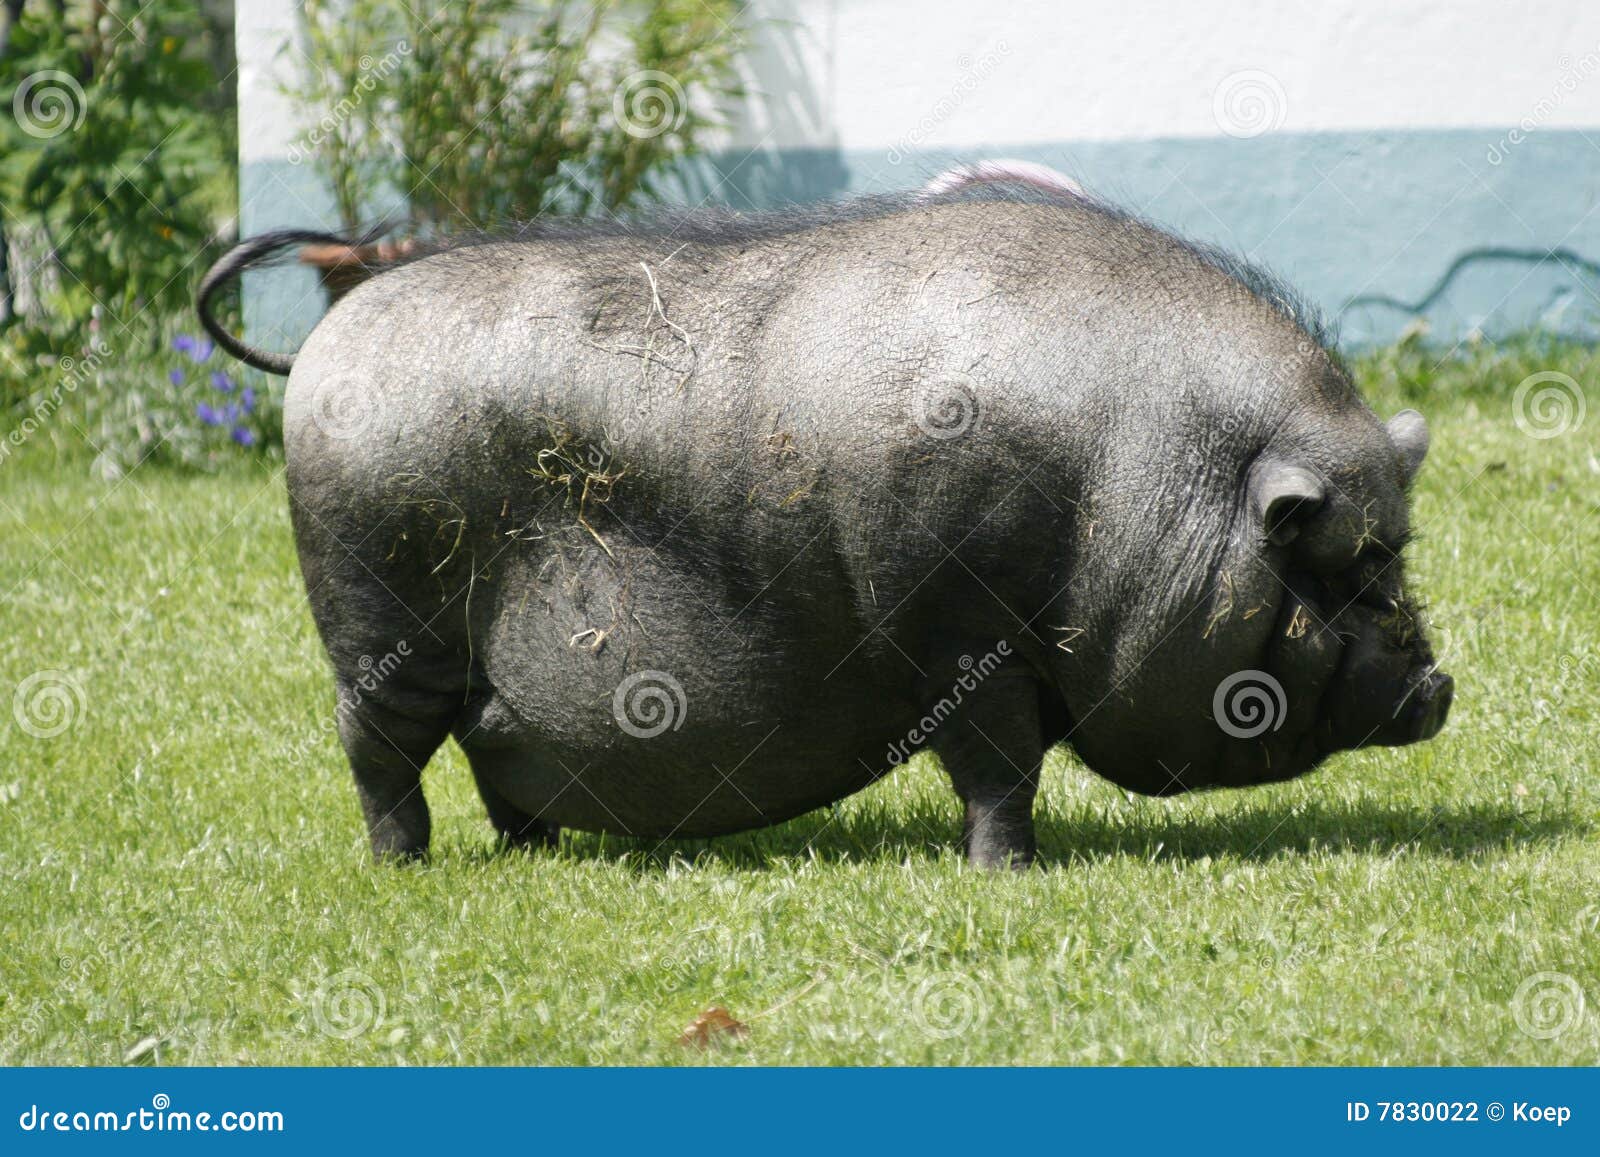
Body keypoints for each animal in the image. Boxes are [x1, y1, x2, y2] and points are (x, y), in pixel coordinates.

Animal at [196, 183, 1452, 867]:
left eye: (1395, 553)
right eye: (1345, 560)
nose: (1438, 685)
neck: (1134, 471)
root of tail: (323, 344)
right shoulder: (958, 633)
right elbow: (998, 768)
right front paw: (1008, 873)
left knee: (488, 753)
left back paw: (535, 852)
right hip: (376, 608)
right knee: (379, 751)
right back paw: (405, 868)